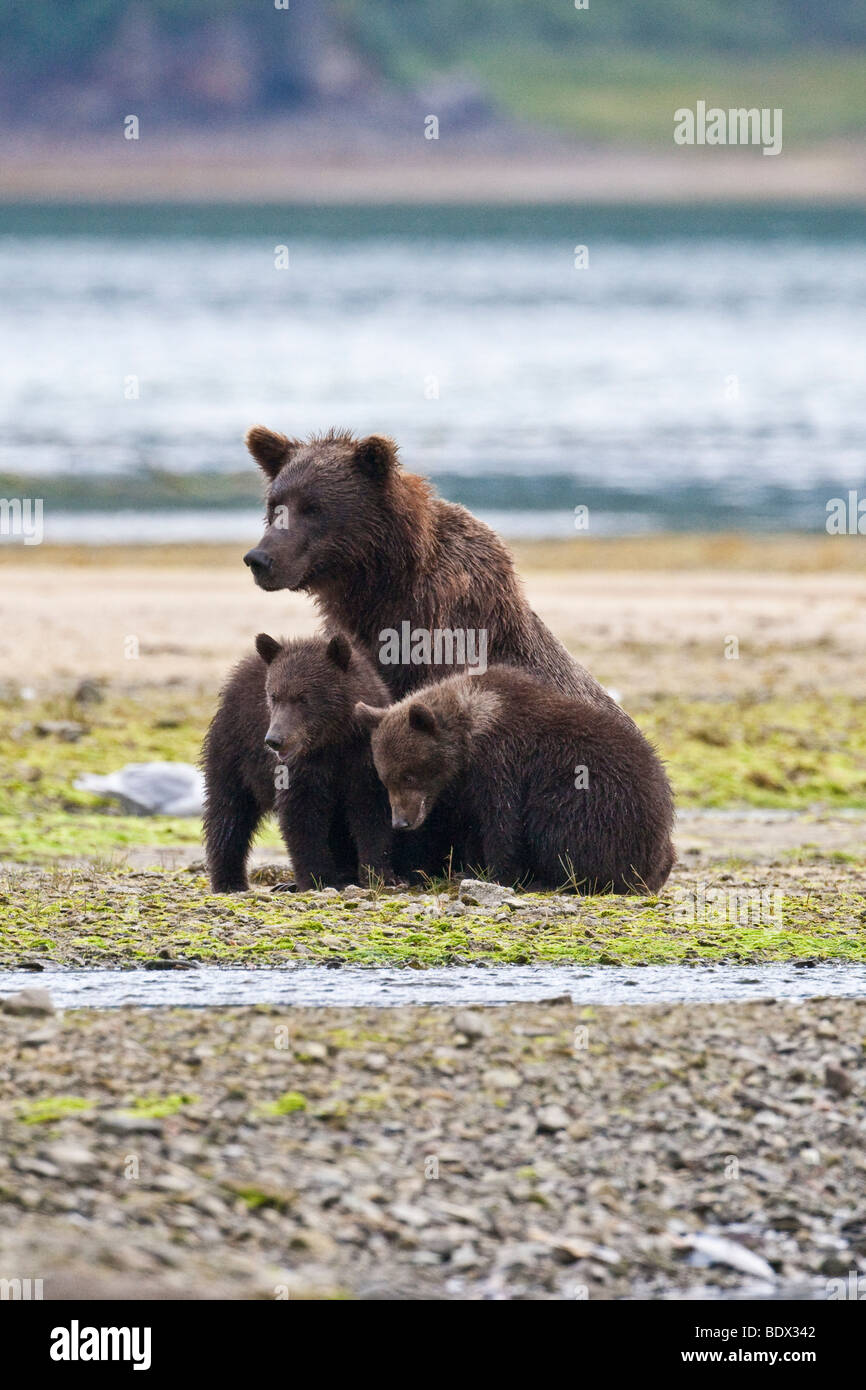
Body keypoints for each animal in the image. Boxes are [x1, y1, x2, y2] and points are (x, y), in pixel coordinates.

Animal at [202, 633, 396, 893]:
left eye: (303, 697)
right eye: (274, 696)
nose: (274, 740)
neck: (334, 740)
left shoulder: (363, 758)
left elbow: (371, 813)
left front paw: (380, 875)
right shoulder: (300, 769)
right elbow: (302, 816)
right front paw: (318, 878)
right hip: (234, 748)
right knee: (228, 808)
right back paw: (229, 881)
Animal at [356, 666, 676, 895]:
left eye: (408, 774)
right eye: (385, 779)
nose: (401, 822)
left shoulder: (504, 760)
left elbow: (503, 821)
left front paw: (498, 875)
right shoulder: (471, 782)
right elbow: (474, 823)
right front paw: (469, 869)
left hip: (599, 802)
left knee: (555, 825)